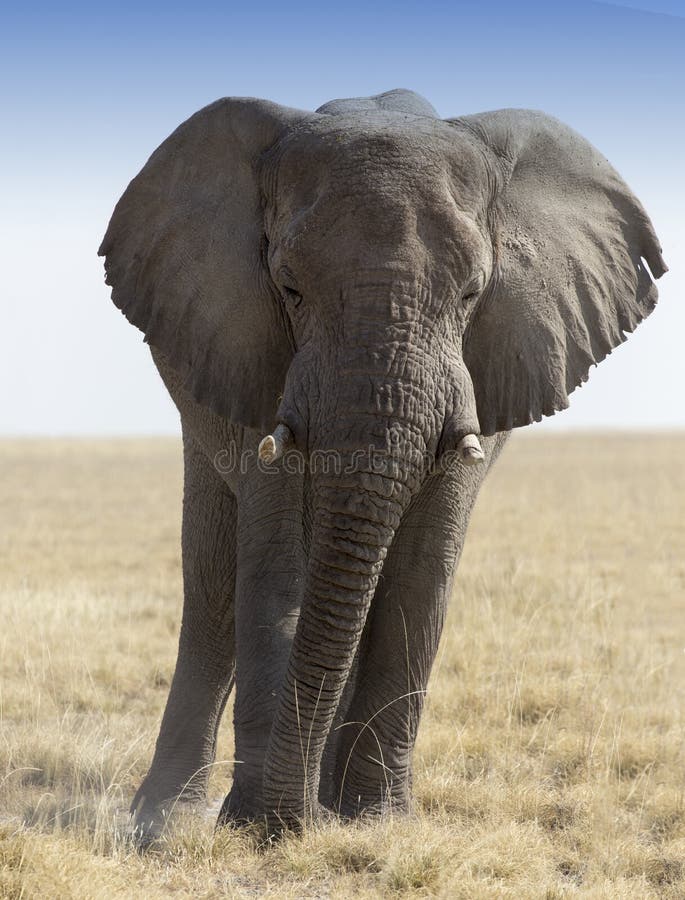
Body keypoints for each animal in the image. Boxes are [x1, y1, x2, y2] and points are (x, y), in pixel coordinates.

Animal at [99, 89, 667, 839]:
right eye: (288, 288)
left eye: (472, 293)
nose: (291, 820)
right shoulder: (254, 350)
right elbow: (276, 564)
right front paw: (256, 828)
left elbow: (422, 568)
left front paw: (377, 824)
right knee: (216, 580)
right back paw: (165, 823)